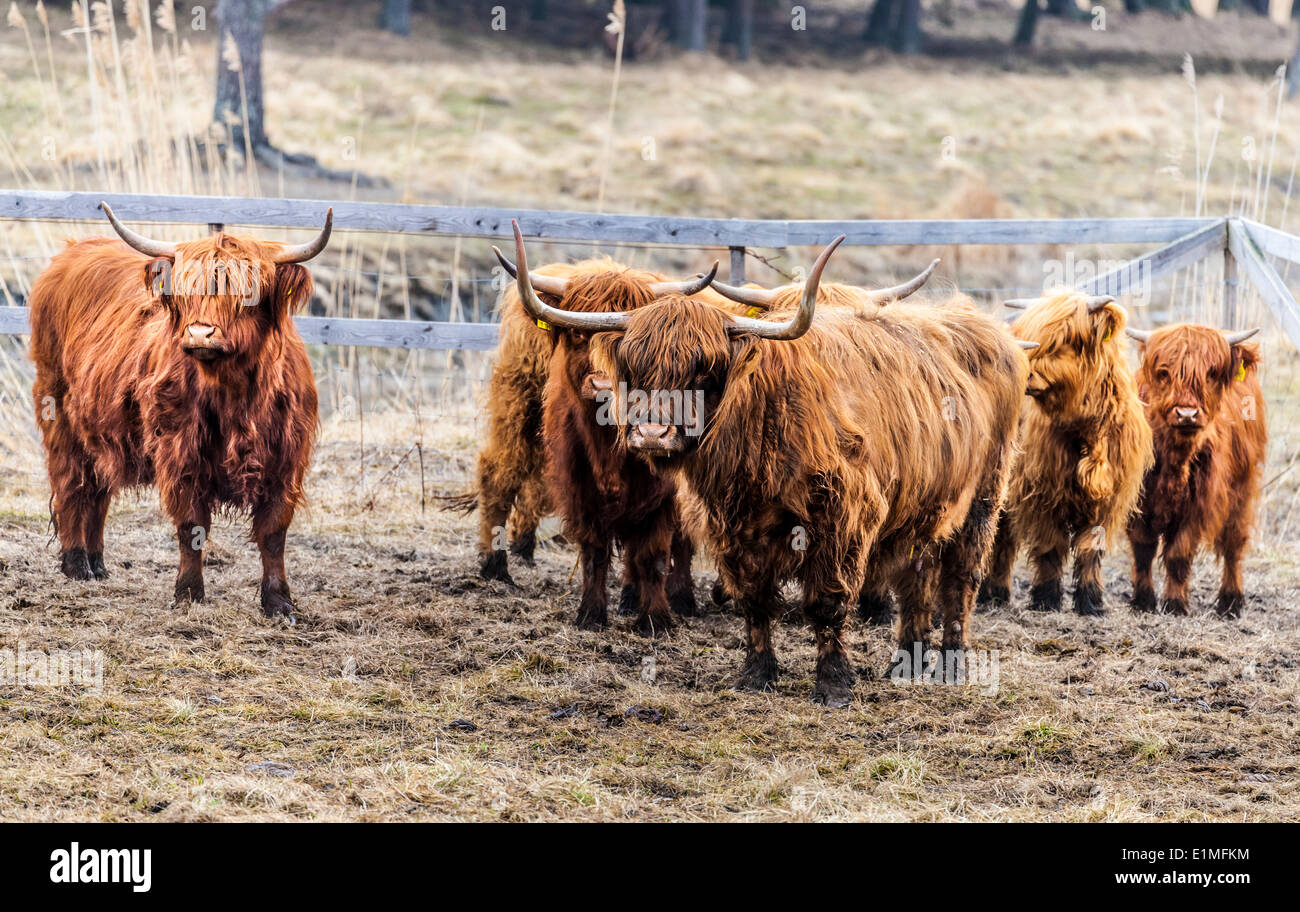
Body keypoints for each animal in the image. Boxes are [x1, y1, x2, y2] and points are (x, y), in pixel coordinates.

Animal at [28, 203, 329, 620]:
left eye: (246, 292)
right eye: (186, 290)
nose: (200, 334)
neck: (234, 394)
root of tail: (74, 251)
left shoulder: (286, 462)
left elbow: (273, 534)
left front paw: (279, 603)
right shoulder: (180, 453)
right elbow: (191, 527)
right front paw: (188, 593)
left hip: (99, 424)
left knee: (98, 488)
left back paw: (97, 564)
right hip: (57, 407)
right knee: (71, 481)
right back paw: (76, 565)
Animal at [514, 235, 1032, 706]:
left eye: (704, 369)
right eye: (636, 368)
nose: (652, 434)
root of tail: (978, 325)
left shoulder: (843, 518)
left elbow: (826, 602)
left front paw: (834, 684)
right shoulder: (733, 524)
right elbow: (755, 598)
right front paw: (757, 674)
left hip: (983, 498)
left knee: (961, 579)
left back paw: (954, 662)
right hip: (925, 507)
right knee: (917, 577)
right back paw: (907, 661)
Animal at [978, 291, 1153, 616]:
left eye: (1065, 340)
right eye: (1031, 335)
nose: (1026, 374)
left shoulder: (1107, 500)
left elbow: (1091, 549)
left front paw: (1091, 601)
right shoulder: (1044, 491)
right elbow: (1051, 545)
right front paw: (1046, 598)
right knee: (1000, 536)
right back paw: (991, 593)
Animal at [1124, 323, 1266, 618]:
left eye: (1210, 373)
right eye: (1164, 373)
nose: (1187, 414)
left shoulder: (1198, 504)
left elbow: (1179, 553)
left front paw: (1175, 603)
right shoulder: (1137, 500)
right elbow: (1143, 548)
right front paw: (1143, 600)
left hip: (1243, 489)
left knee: (1234, 544)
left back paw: (1230, 602)